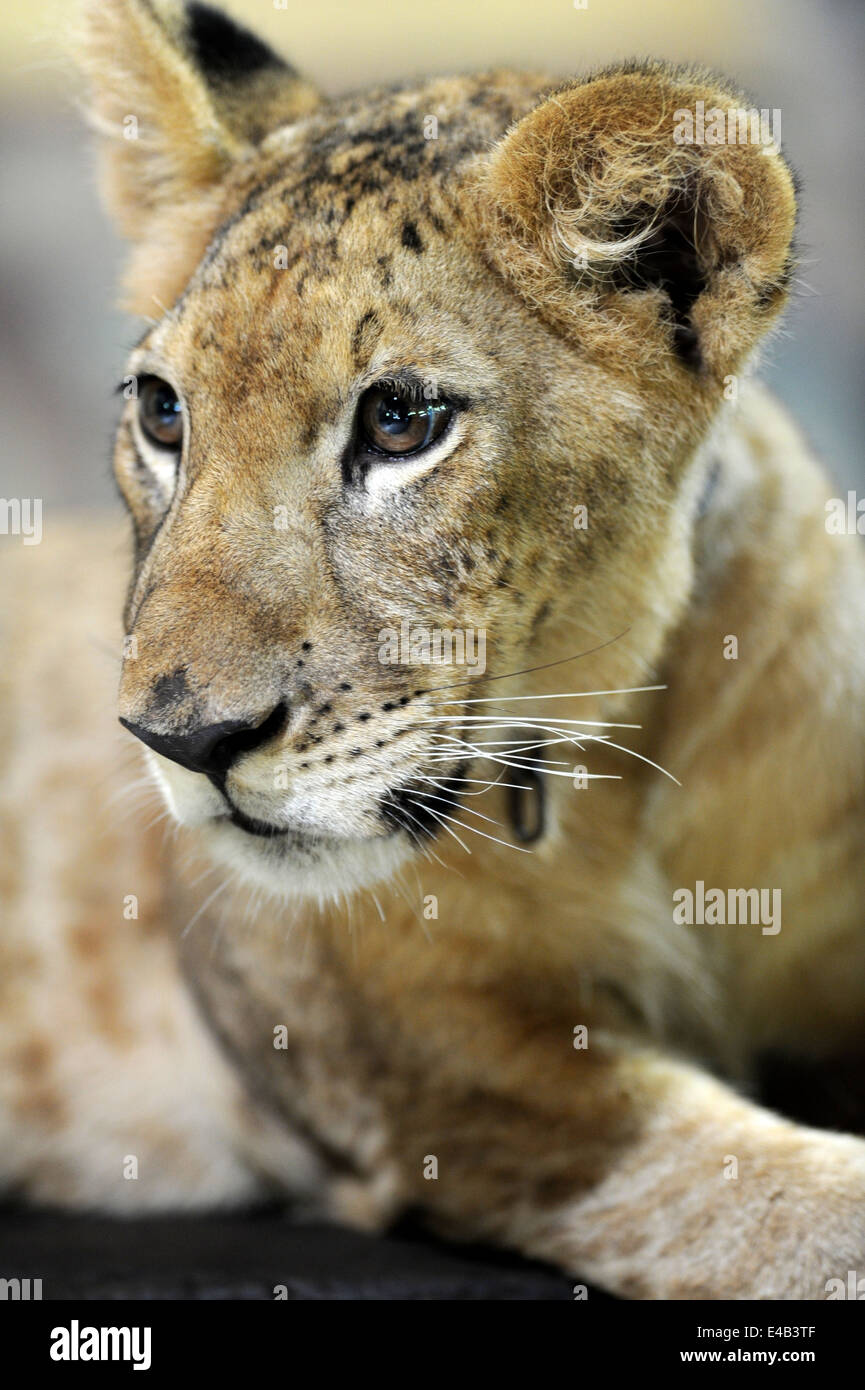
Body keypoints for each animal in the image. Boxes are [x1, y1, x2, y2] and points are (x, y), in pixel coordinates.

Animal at [1, 0, 864, 1300]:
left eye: (401, 422)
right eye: (161, 412)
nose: (183, 740)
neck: (617, 779)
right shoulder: (468, 1091)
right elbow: (785, 1201)